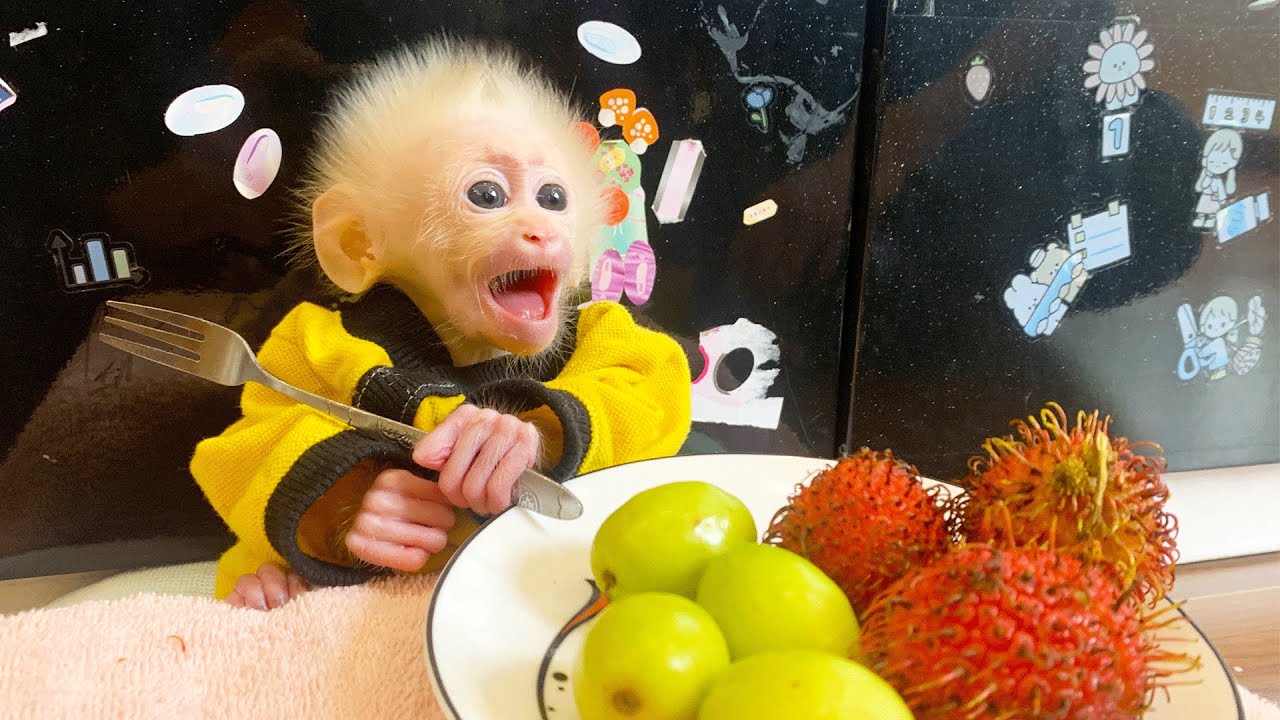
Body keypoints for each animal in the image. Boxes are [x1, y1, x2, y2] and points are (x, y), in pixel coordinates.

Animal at [189, 37, 693, 609]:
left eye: (553, 199)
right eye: (487, 196)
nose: (542, 230)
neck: (464, 349)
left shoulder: (595, 318)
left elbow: (638, 372)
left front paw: (501, 439)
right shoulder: (306, 334)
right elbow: (260, 428)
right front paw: (381, 514)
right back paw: (268, 584)